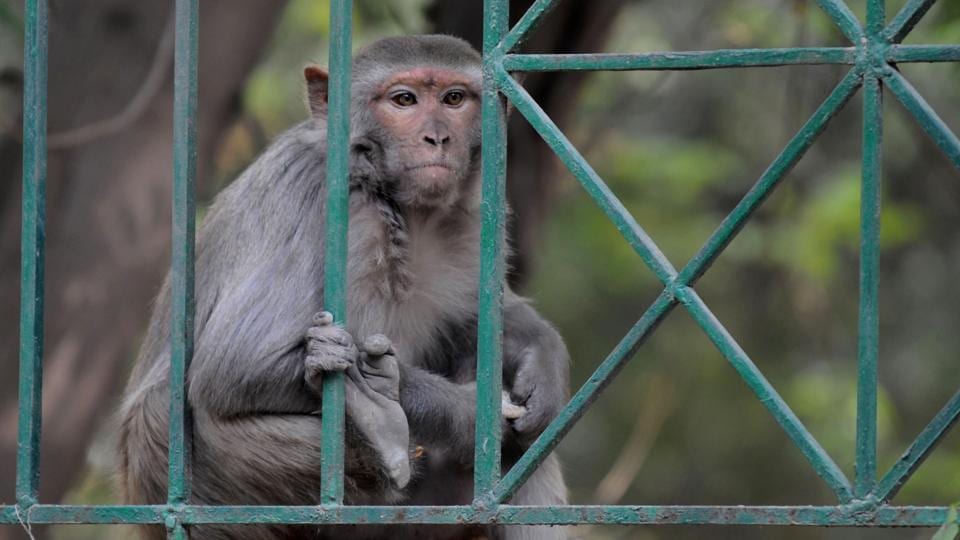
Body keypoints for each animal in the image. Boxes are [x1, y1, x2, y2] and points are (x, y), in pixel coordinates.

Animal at [117, 35, 570, 540]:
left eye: (455, 99)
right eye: (404, 100)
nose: (437, 138)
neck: (404, 209)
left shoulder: (474, 222)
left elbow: (481, 318)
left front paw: (544, 359)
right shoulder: (317, 194)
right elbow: (236, 368)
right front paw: (472, 414)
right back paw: (382, 421)